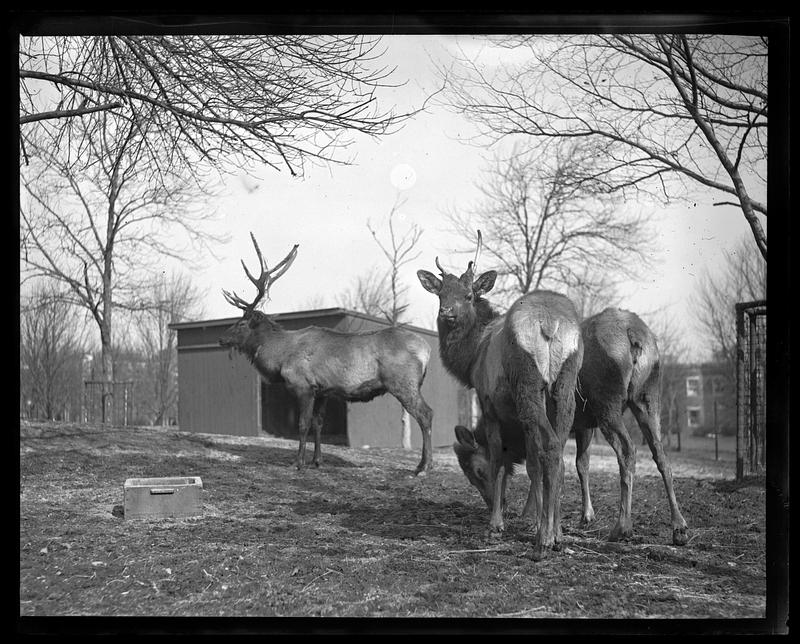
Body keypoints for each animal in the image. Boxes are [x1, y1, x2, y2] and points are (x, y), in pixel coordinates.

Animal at [219, 233, 435, 475]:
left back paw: (423, 467)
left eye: (242, 323)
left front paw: (298, 462)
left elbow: (302, 424)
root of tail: (427, 349)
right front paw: (317, 460)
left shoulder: (303, 385)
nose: (221, 339)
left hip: (403, 382)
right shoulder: (322, 390)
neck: (280, 357)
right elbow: (318, 423)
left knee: (426, 414)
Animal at [417, 231, 583, 561]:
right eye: (441, 294)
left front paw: (497, 524)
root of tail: (551, 323)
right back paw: (557, 534)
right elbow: (529, 464)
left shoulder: (488, 403)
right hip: (565, 387)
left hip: (528, 385)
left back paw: (543, 541)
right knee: (558, 450)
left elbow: (500, 458)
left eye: (468, 295)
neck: (470, 361)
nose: (447, 313)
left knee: (549, 448)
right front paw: (535, 521)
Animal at [453, 306, 689, 547]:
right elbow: (579, 465)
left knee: (627, 450)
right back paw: (679, 526)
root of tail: (634, 334)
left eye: (477, 471)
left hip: (607, 404)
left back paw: (622, 527)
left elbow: (534, 467)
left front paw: (530, 519)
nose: (495, 503)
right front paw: (585, 515)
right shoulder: (584, 426)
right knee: (660, 455)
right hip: (647, 398)